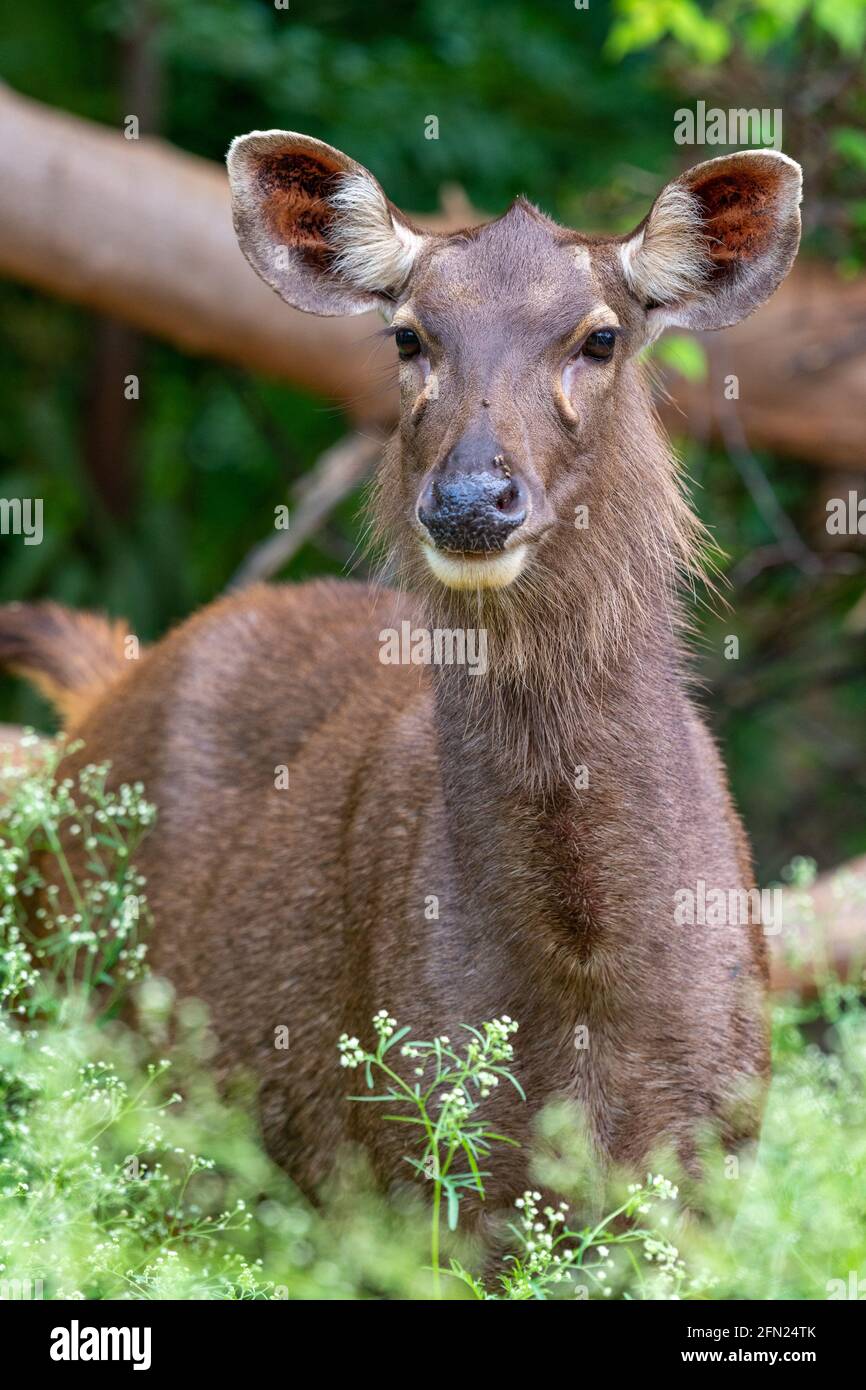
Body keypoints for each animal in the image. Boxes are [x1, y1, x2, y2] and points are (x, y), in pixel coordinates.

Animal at [0, 136, 802, 1223]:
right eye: (408, 335)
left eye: (600, 337)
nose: (470, 499)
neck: (585, 980)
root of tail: (100, 695)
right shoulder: (419, 1170)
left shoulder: (713, 1159)